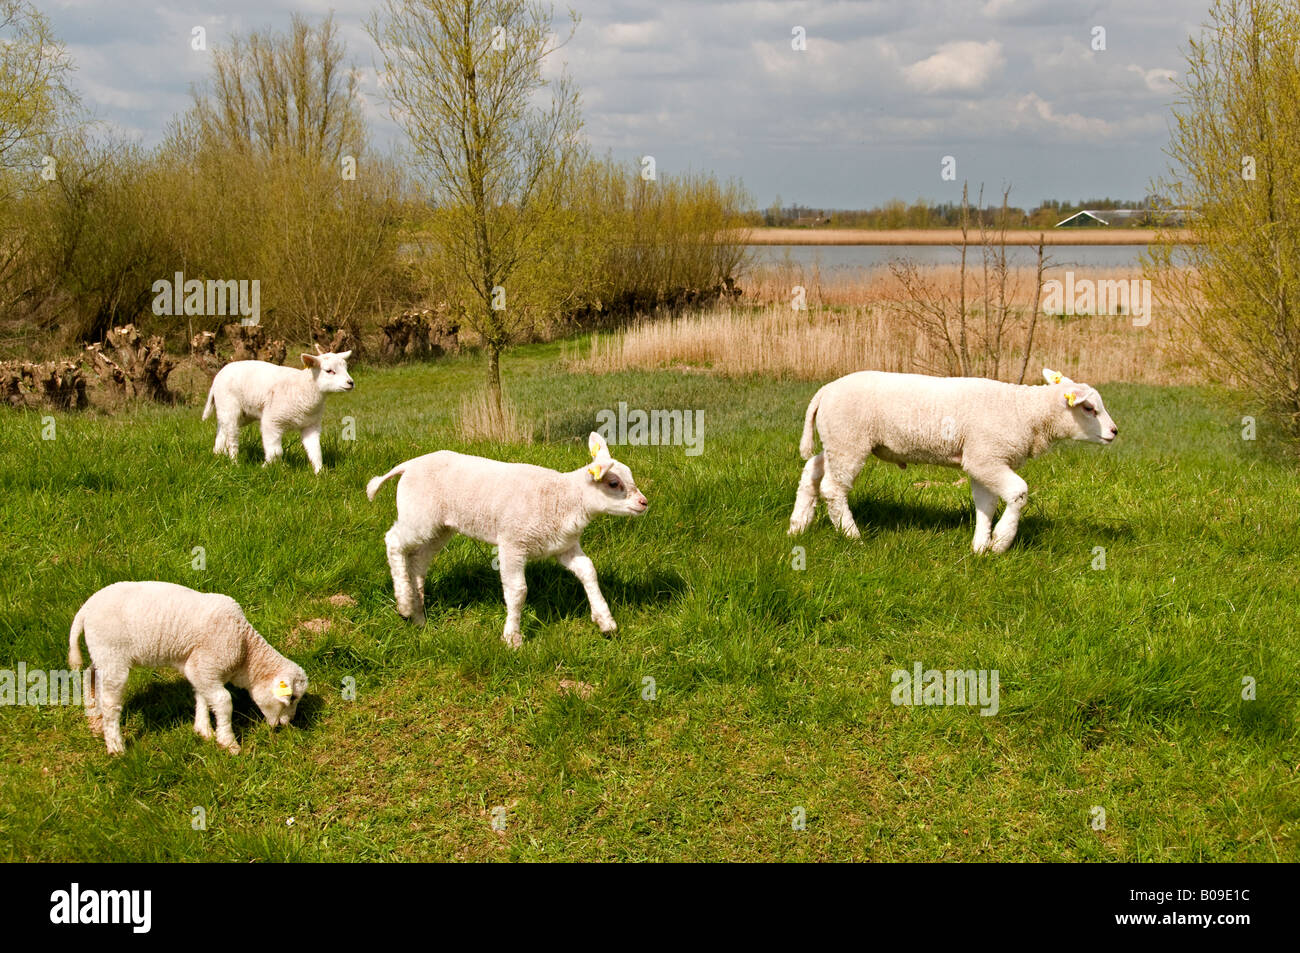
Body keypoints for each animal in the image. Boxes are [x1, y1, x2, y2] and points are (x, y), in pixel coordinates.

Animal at [68, 581, 308, 755]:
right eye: (292, 698)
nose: (288, 723)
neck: (246, 653)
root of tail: (85, 610)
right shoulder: (208, 663)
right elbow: (223, 701)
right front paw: (228, 743)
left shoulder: (199, 667)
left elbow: (202, 695)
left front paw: (204, 730)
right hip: (112, 654)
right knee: (110, 704)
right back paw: (116, 747)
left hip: (101, 653)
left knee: (90, 677)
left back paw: (94, 719)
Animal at [202, 347, 354, 473]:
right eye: (329, 371)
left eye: (346, 368)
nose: (351, 383)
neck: (304, 388)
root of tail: (217, 377)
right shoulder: (272, 421)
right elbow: (276, 452)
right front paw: (266, 467)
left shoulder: (310, 425)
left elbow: (315, 450)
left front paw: (319, 472)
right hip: (229, 406)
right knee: (232, 438)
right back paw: (234, 463)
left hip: (236, 413)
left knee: (222, 431)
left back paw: (218, 454)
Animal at [366, 432, 649, 648]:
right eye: (613, 483)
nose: (644, 502)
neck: (564, 497)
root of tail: (409, 464)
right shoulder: (513, 542)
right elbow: (518, 591)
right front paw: (512, 637)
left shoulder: (564, 546)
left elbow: (588, 571)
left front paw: (605, 621)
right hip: (418, 515)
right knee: (393, 541)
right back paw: (404, 602)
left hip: (438, 527)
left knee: (417, 560)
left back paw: (417, 614)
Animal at [787, 368, 1118, 553]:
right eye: (1089, 408)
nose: (1114, 432)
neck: (1026, 413)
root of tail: (825, 391)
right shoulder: (986, 457)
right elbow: (1018, 493)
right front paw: (1001, 542)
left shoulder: (983, 459)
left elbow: (986, 504)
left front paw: (980, 547)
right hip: (849, 441)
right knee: (833, 489)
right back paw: (852, 537)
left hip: (836, 440)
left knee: (811, 471)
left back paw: (798, 526)